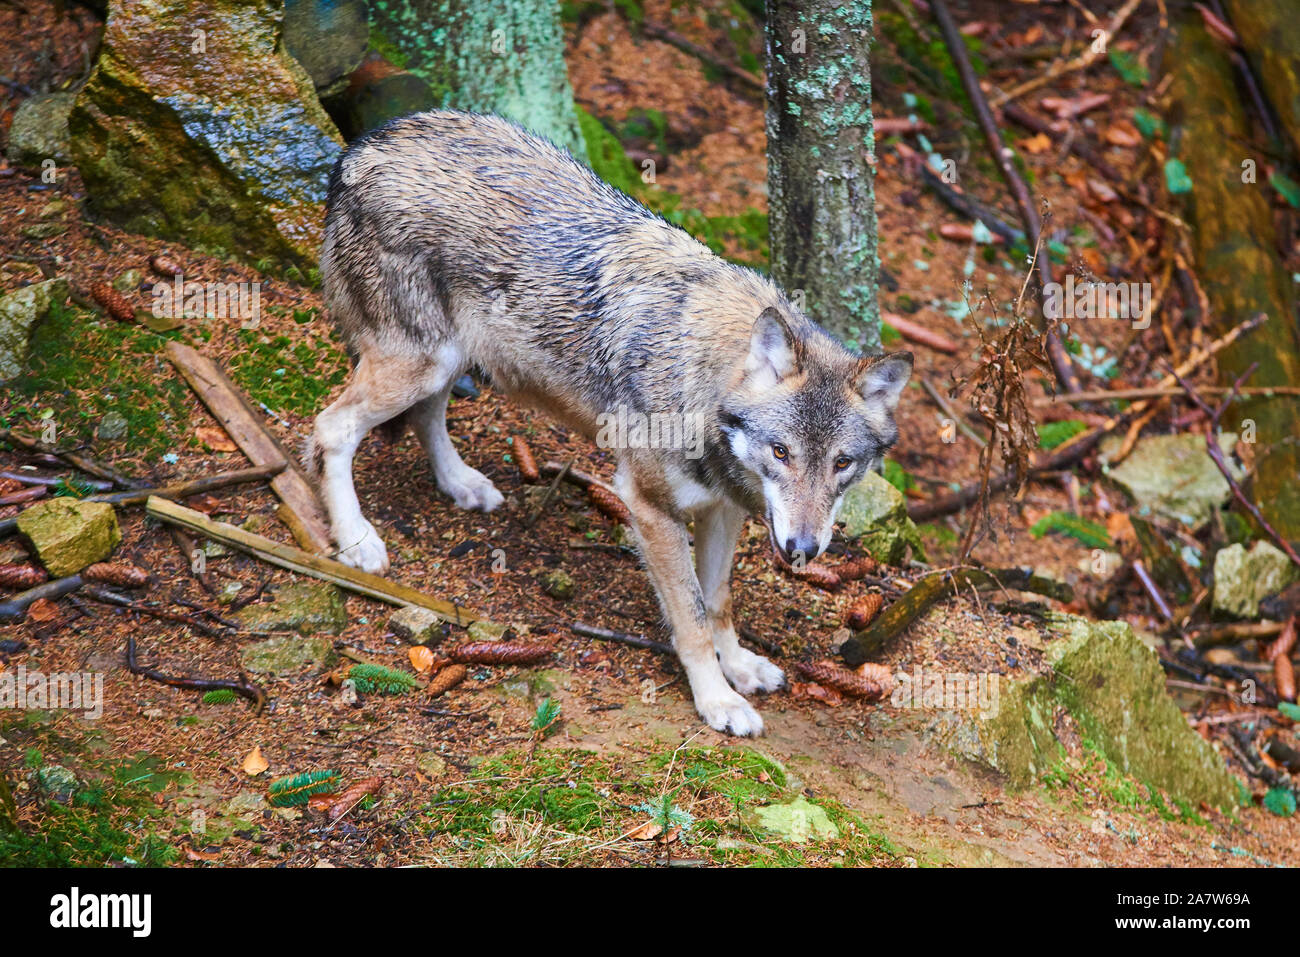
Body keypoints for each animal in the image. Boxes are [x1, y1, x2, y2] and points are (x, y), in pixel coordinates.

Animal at [307, 110, 912, 737]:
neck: (699, 376)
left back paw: (461, 485)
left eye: (842, 464)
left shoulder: (722, 509)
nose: (802, 549)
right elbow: (692, 616)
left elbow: (719, 601)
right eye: (781, 452)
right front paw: (717, 700)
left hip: (446, 363)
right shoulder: (650, 507)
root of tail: (362, 147)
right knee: (332, 428)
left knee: (428, 415)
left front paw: (741, 666)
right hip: (417, 364)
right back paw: (358, 542)